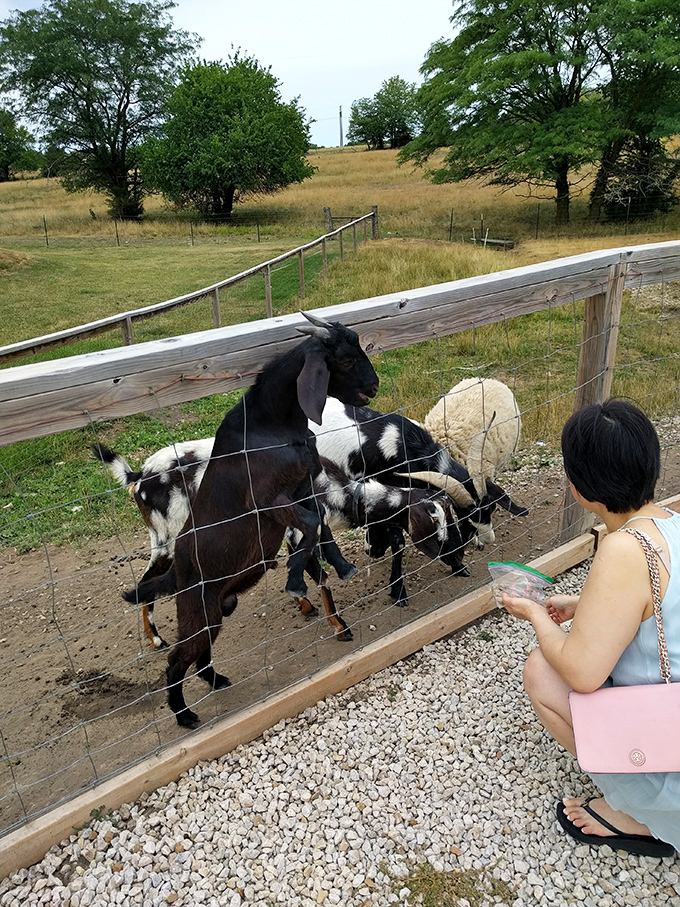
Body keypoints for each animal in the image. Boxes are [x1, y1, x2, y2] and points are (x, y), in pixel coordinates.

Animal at [122, 312, 379, 727]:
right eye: (342, 360)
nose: (373, 386)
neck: (270, 428)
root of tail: (177, 576)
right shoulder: (268, 500)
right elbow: (310, 525)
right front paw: (295, 580)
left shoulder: (302, 487)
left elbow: (319, 525)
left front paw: (339, 566)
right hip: (196, 604)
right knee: (177, 660)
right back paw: (184, 714)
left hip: (215, 609)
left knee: (201, 653)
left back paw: (217, 680)